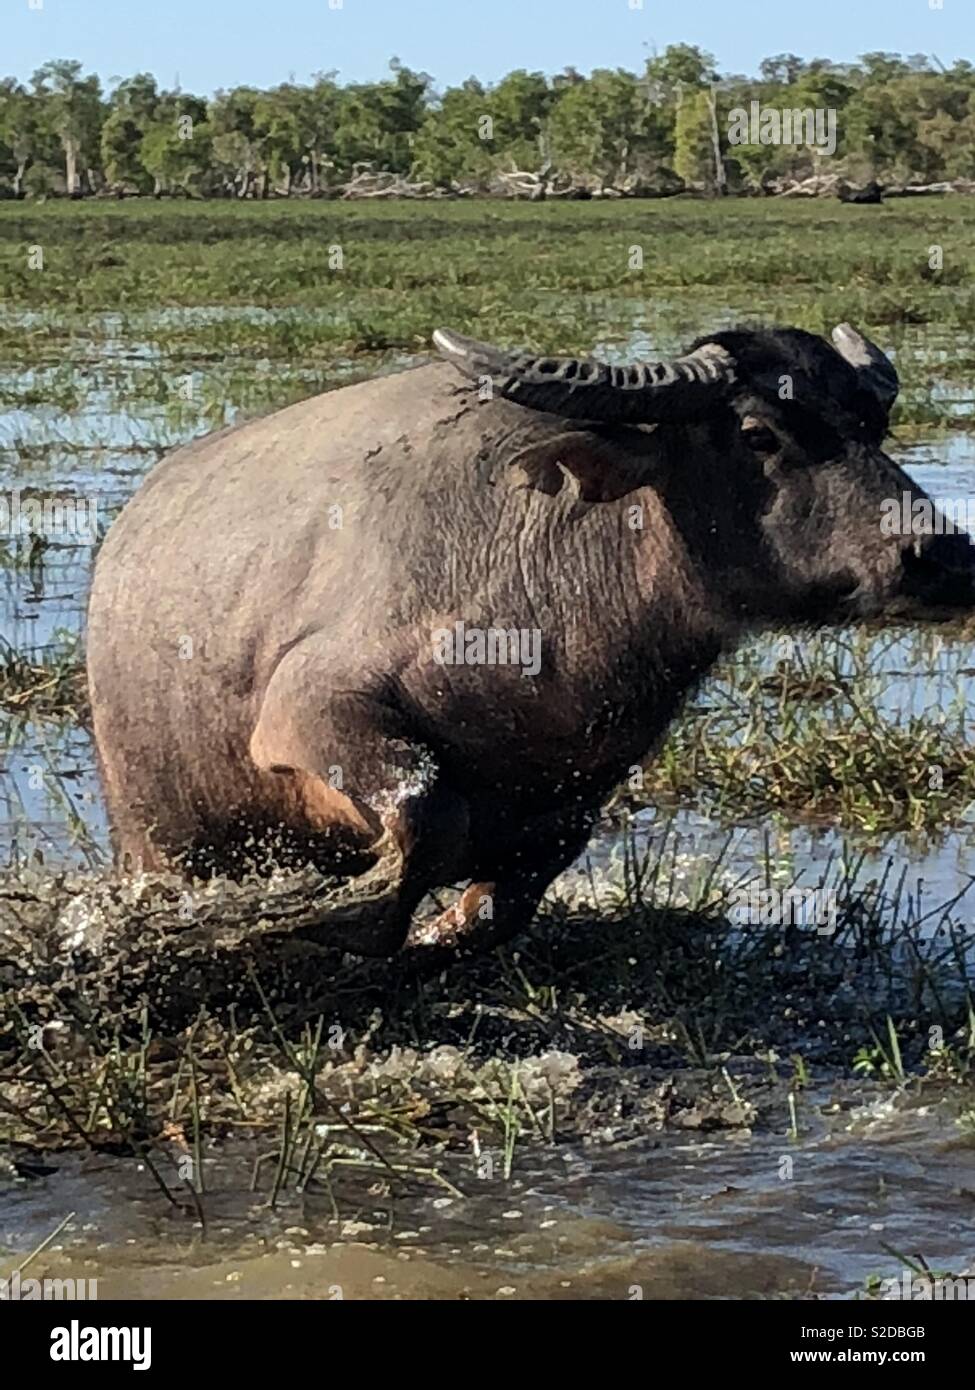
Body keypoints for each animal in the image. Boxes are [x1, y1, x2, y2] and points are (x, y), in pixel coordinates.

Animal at [86, 322, 975, 953]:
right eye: (760, 435)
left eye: (871, 423)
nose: (940, 555)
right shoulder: (307, 713)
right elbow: (428, 811)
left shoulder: (575, 795)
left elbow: (506, 896)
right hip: (156, 838)